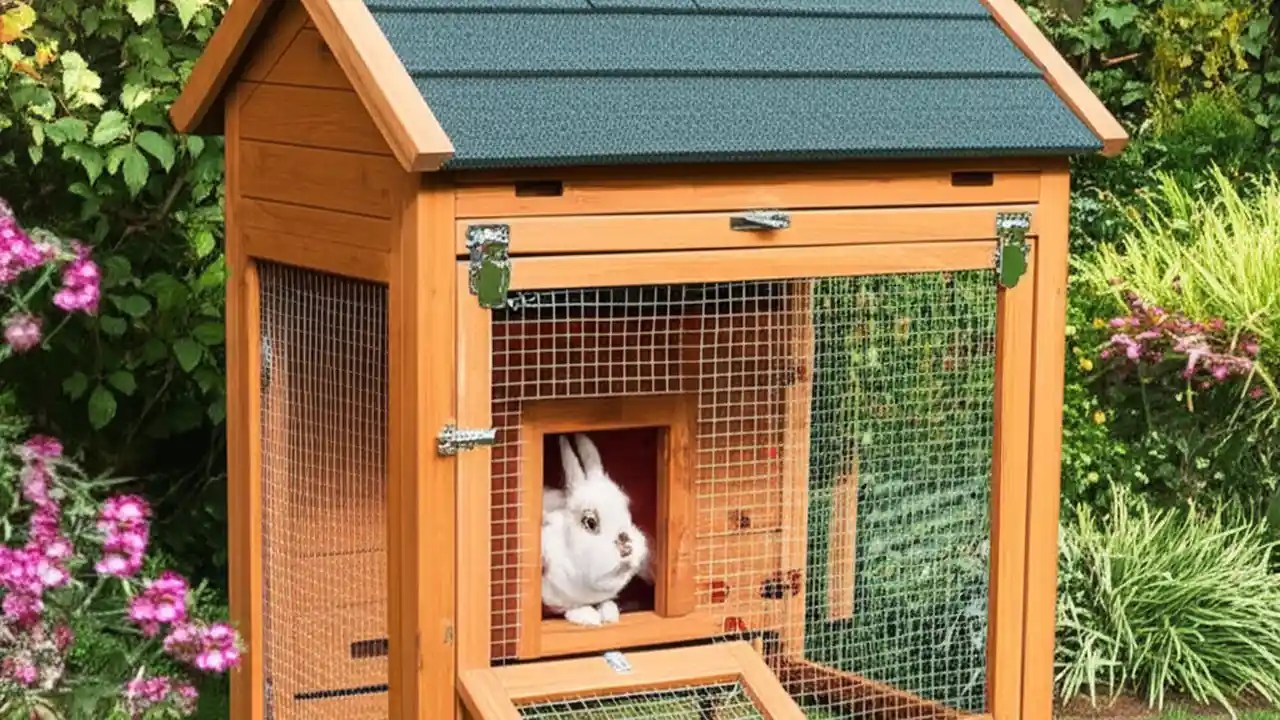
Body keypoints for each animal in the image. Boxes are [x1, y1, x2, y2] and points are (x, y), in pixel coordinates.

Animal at [541, 433, 650, 627]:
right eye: (590, 522)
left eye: (627, 510)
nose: (627, 546)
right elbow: (570, 608)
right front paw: (588, 617)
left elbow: (606, 603)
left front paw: (610, 614)